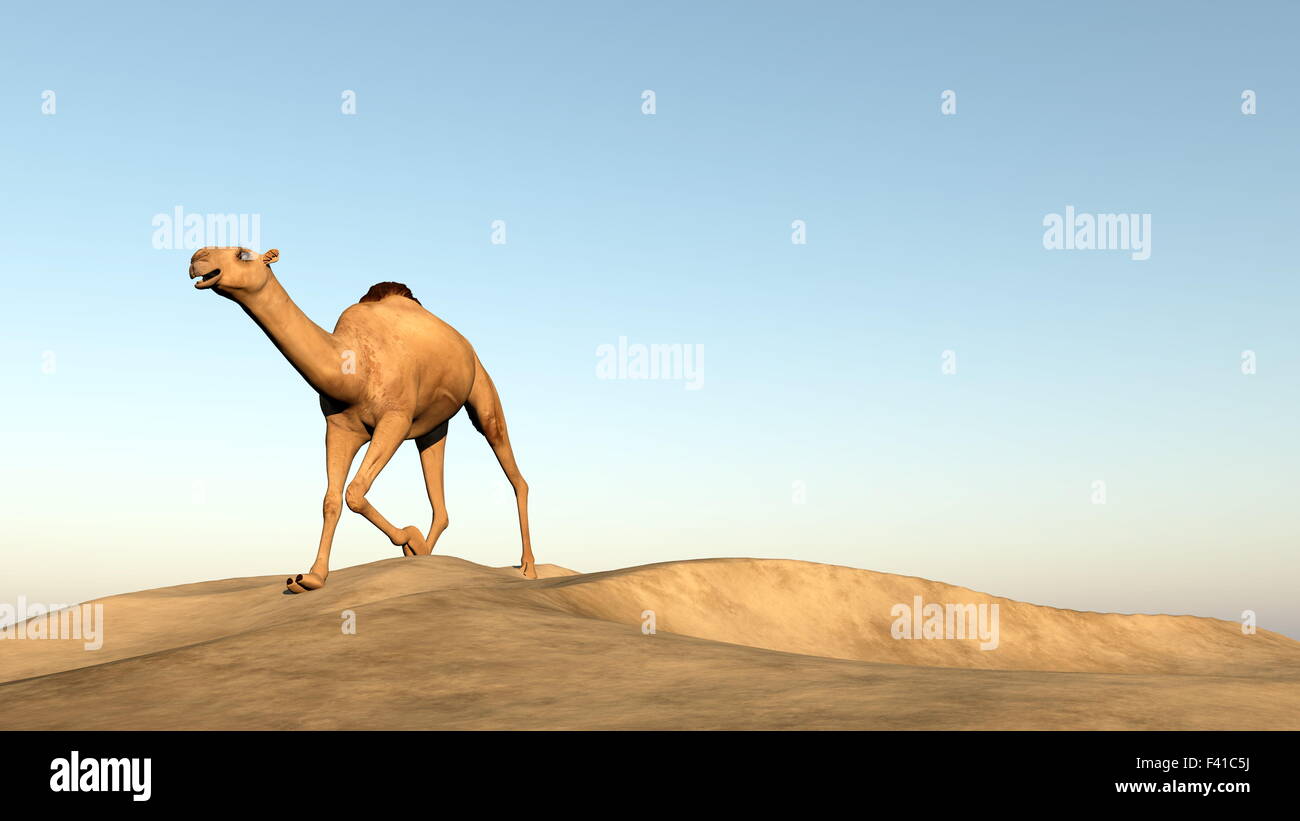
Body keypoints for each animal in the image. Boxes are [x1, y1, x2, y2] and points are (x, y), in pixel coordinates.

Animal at [187, 246, 536, 591]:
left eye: (242, 254)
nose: (196, 259)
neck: (356, 369)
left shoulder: (395, 420)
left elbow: (354, 492)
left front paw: (409, 538)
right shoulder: (339, 427)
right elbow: (331, 500)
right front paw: (311, 577)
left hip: (482, 391)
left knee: (511, 465)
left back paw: (528, 568)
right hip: (435, 425)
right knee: (440, 502)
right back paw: (428, 553)